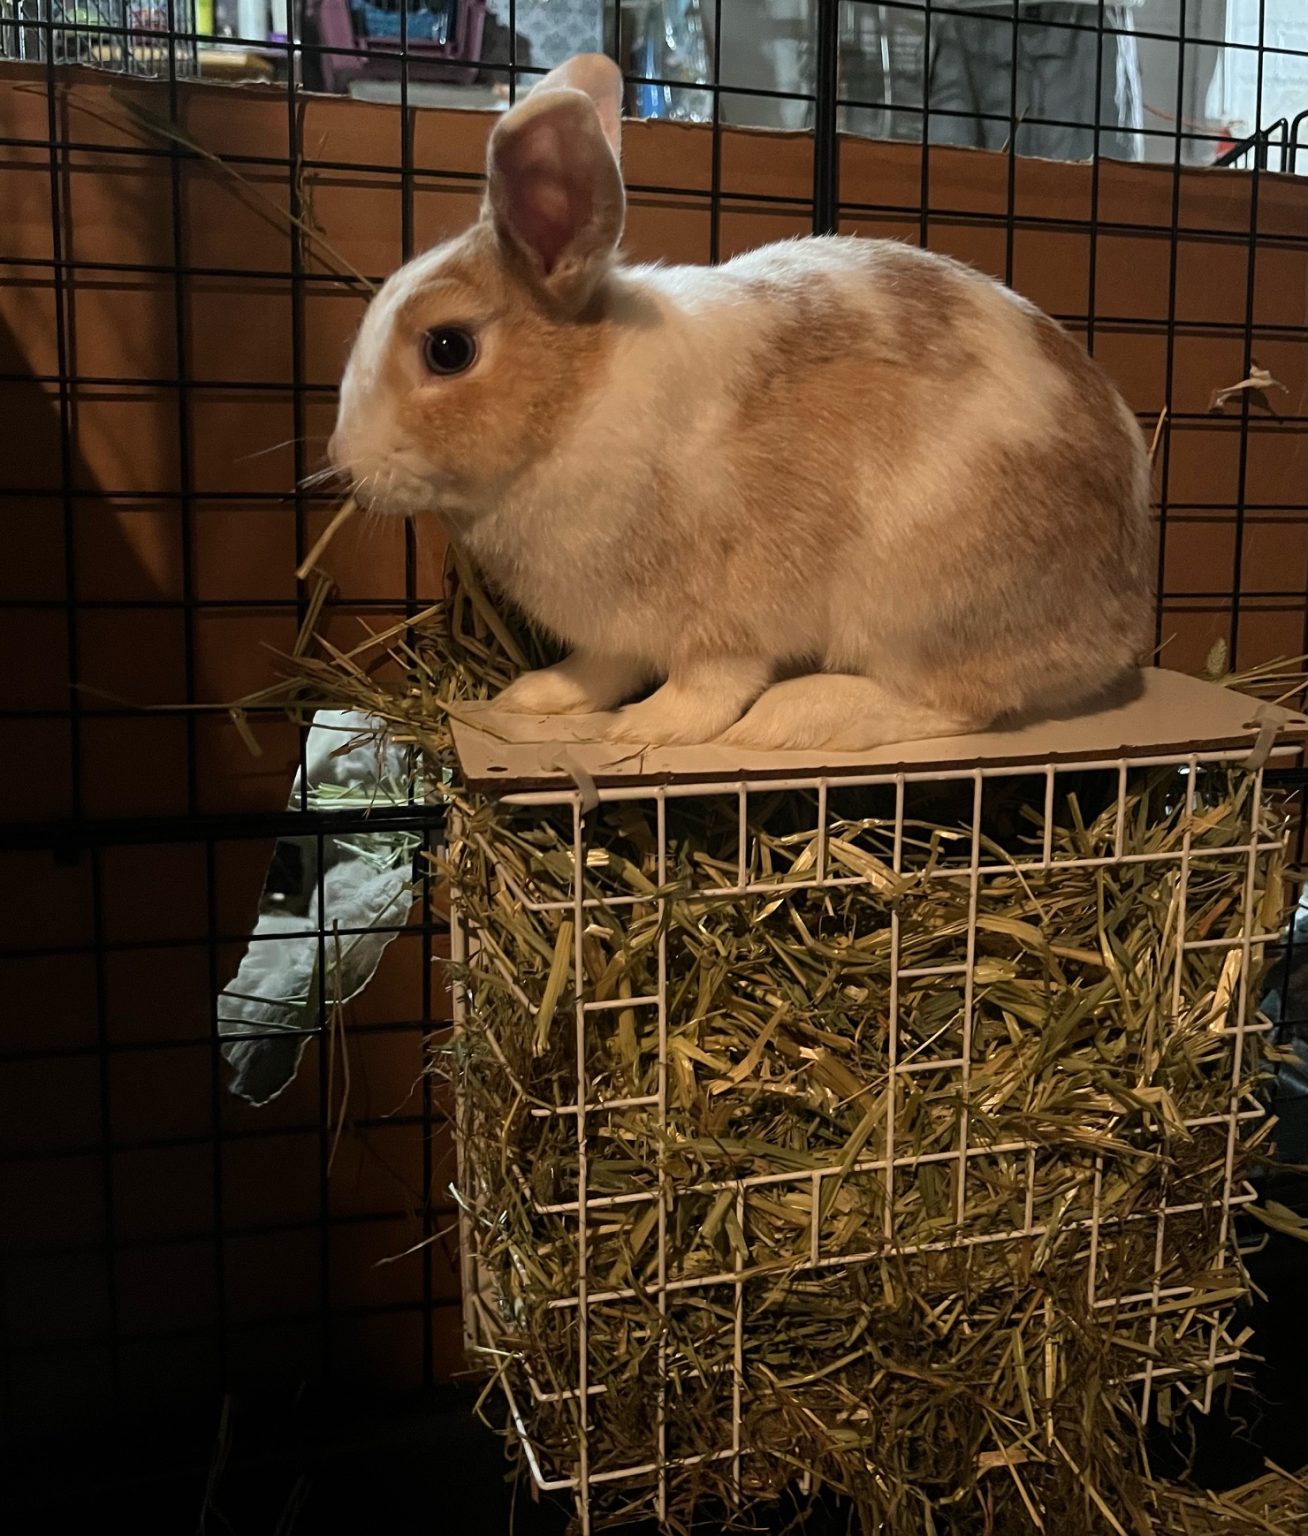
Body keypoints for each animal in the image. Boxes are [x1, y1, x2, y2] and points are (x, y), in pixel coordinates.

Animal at [329, 53, 1152, 752]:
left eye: (448, 348)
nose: (345, 464)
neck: (577, 409)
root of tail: (1120, 617)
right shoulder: (613, 631)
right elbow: (599, 668)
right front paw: (538, 698)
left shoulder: (727, 616)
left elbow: (709, 688)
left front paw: (644, 730)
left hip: (921, 603)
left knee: (956, 703)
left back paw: (796, 716)